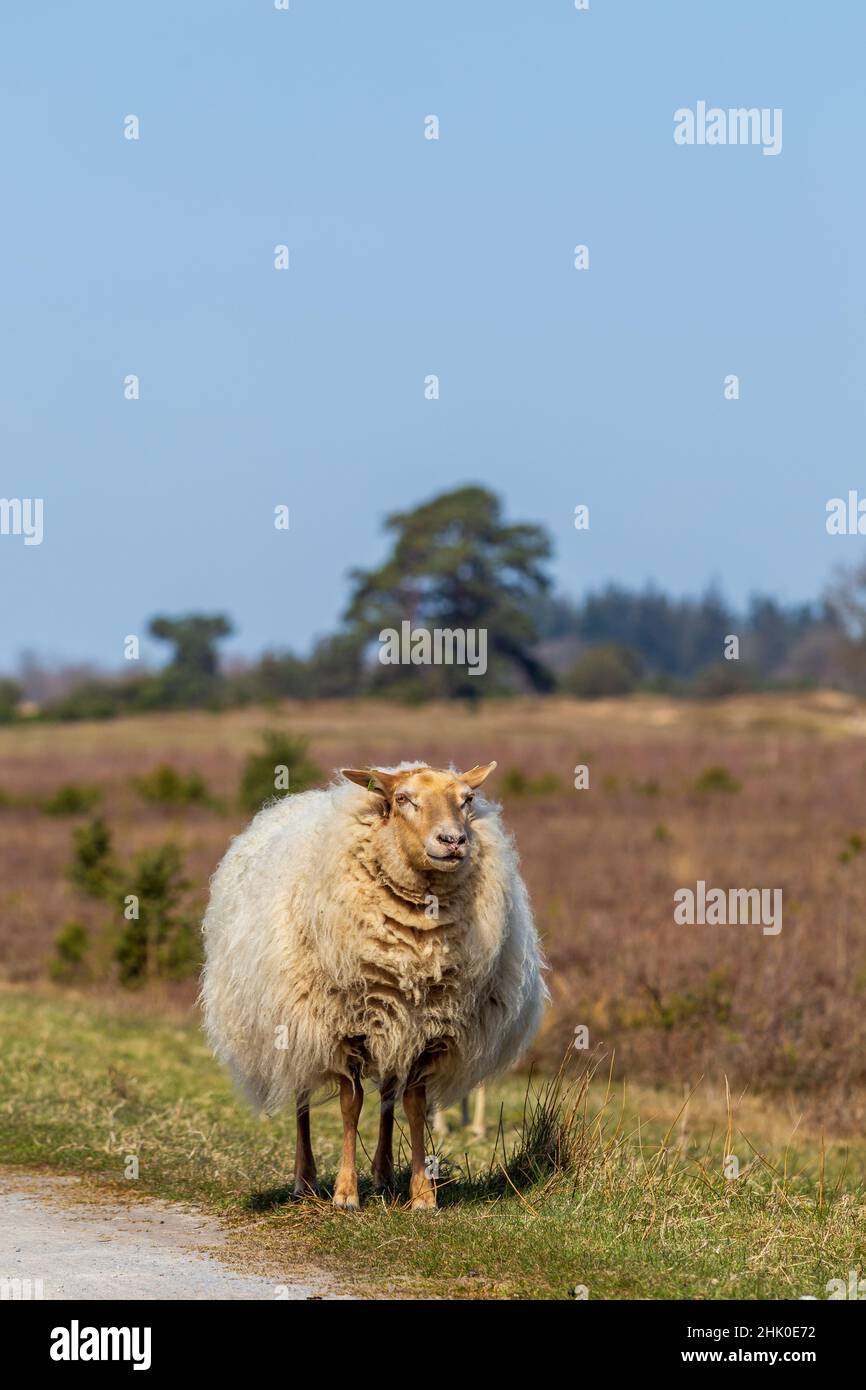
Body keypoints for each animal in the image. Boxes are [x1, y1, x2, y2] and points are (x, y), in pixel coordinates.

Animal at [200, 760, 547, 1211]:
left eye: (467, 799)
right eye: (403, 799)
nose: (453, 840)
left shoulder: (426, 1030)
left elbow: (412, 1106)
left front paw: (422, 1194)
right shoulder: (342, 1028)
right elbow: (351, 1107)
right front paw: (346, 1193)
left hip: (389, 1024)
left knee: (386, 1096)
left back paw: (383, 1175)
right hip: (297, 1024)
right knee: (303, 1099)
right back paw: (305, 1180)